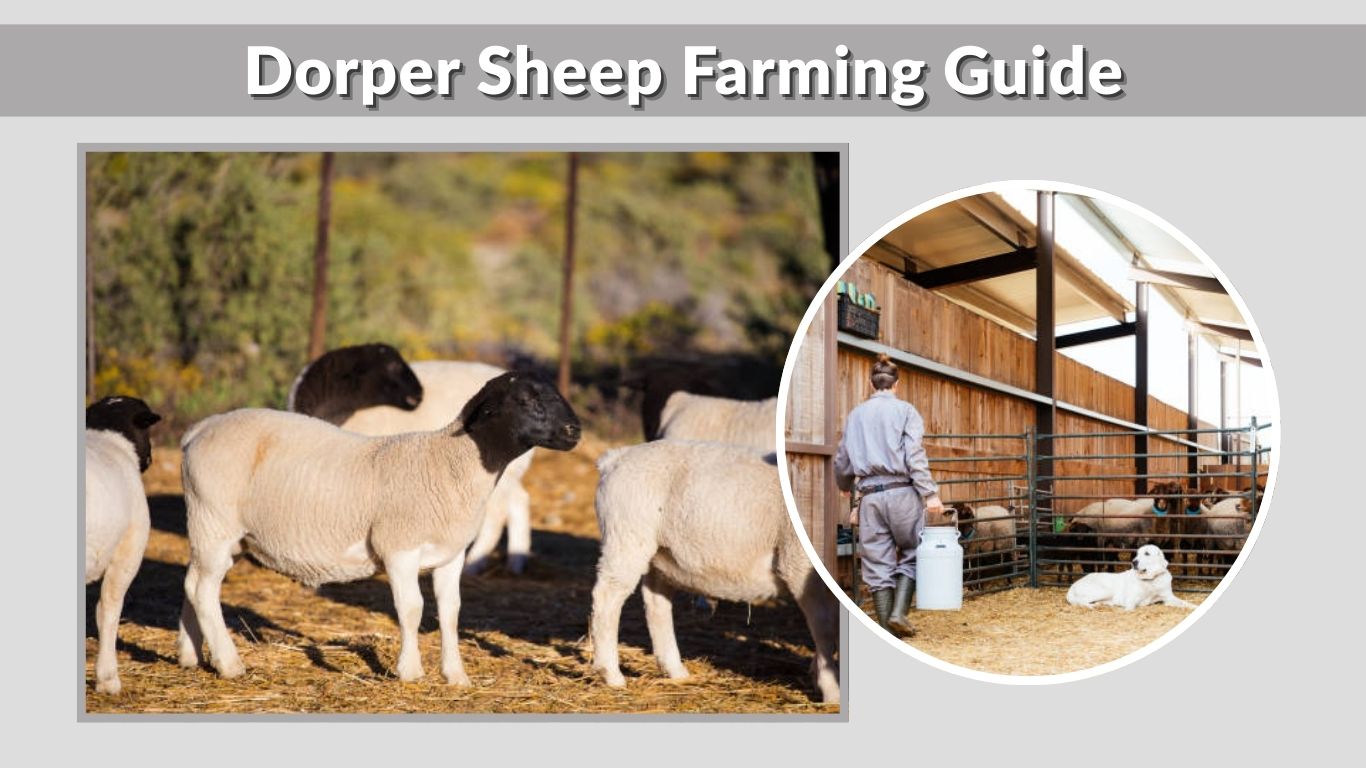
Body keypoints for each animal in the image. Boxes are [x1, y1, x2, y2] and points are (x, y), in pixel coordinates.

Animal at [178, 373, 581, 684]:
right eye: (525, 400)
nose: (574, 430)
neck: (451, 463)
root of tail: (200, 429)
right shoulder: (398, 547)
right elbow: (412, 609)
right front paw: (410, 671)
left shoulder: (450, 554)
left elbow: (451, 611)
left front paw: (456, 675)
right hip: (214, 521)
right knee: (204, 590)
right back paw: (229, 664)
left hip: (214, 531)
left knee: (192, 584)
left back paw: (189, 655)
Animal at [288, 344, 538, 575]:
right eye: (392, 366)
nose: (419, 395)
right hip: (509, 472)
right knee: (519, 499)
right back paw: (516, 562)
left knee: (497, 513)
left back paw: (473, 564)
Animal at [589, 440, 839, 704]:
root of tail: (616, 457)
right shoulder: (799, 563)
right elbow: (824, 626)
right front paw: (831, 689)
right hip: (626, 538)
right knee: (607, 598)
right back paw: (610, 674)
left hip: (660, 553)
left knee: (656, 603)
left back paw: (675, 671)